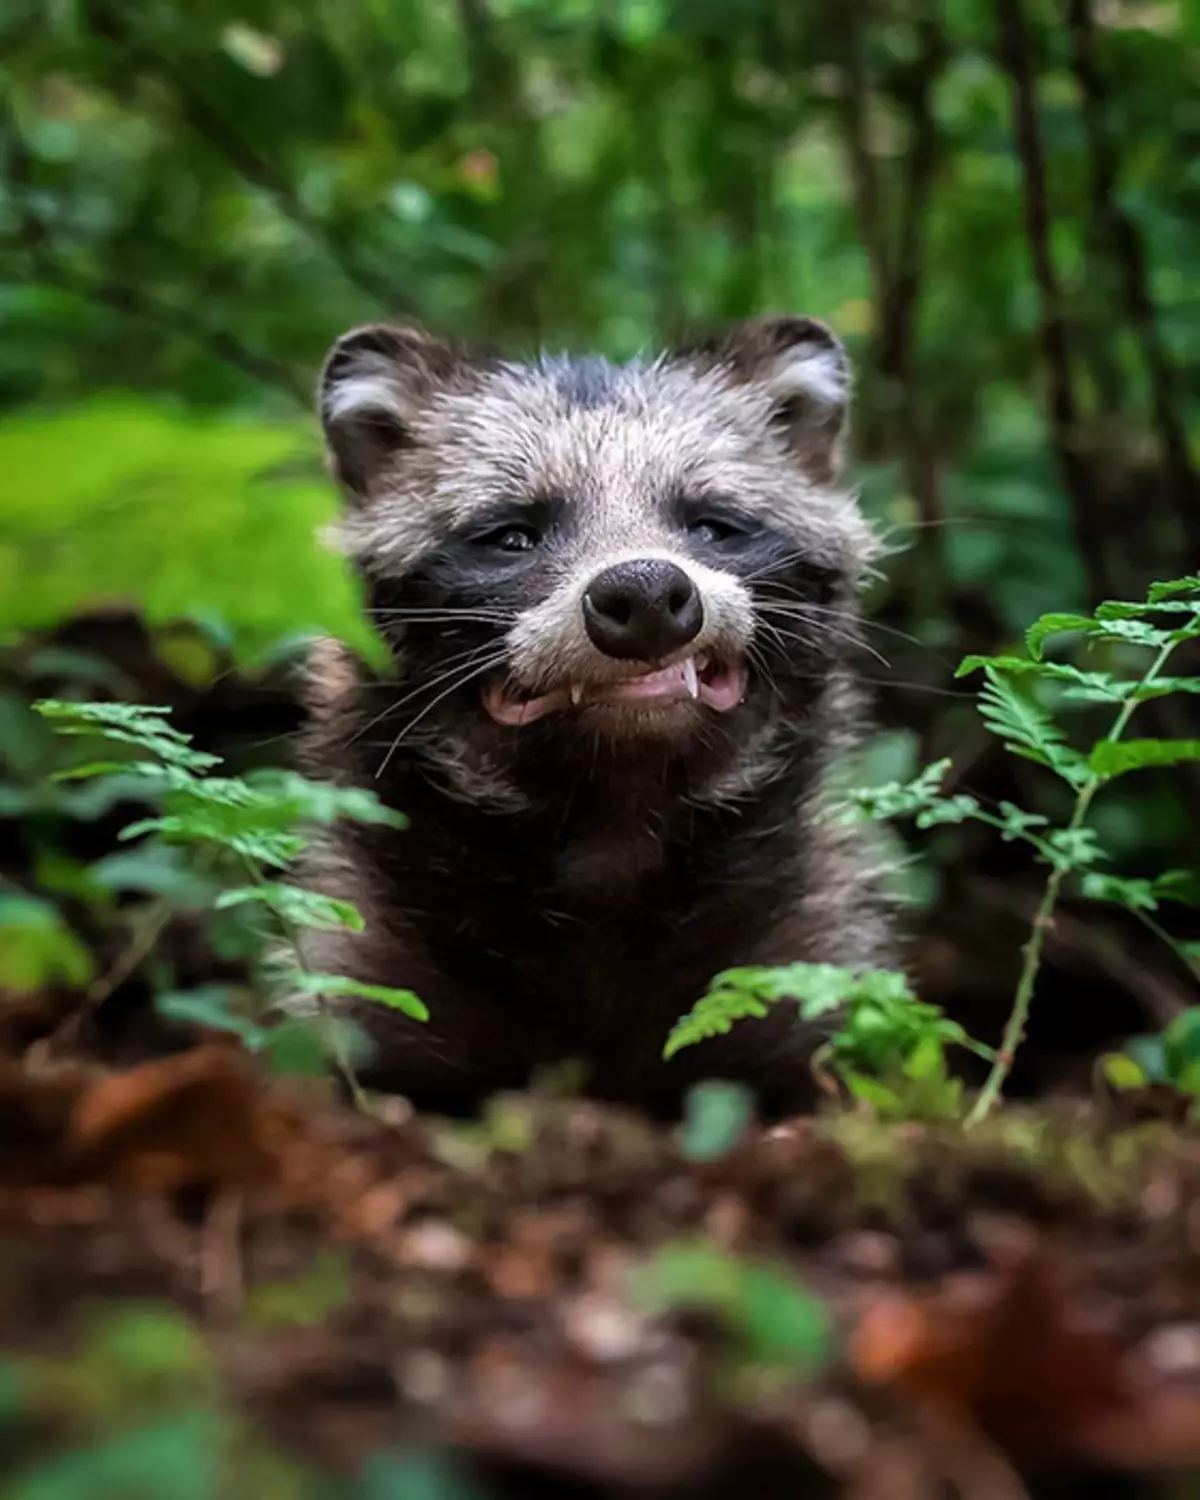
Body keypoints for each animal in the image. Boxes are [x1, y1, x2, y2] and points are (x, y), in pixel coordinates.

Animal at [292, 313, 888, 1116]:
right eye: (512, 535)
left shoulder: (800, 961)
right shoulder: (372, 974)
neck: (612, 830)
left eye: (712, 525)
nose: (645, 592)